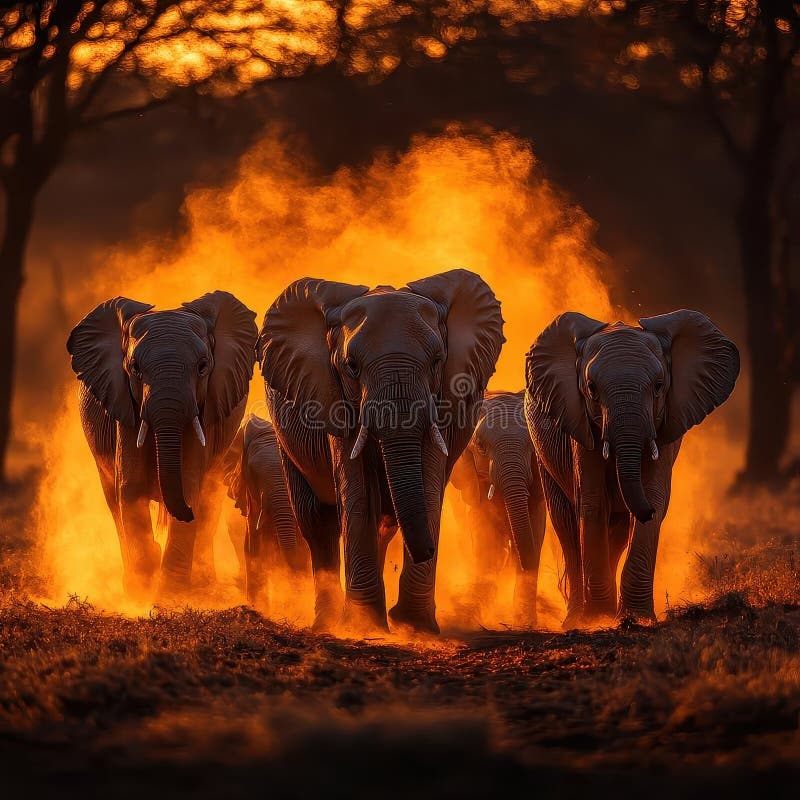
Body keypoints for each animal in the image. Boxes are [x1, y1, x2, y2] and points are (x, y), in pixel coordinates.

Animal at [67, 291, 258, 599]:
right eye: (134, 368)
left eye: (203, 367)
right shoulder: (124, 404)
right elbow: (130, 490)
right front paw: (143, 592)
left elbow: (190, 485)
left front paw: (171, 596)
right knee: (113, 499)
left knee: (211, 500)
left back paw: (203, 587)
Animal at [258, 269, 504, 634]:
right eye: (351, 366)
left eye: (437, 361)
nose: (428, 550)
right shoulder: (333, 396)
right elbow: (357, 489)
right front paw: (365, 626)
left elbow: (429, 480)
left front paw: (414, 625)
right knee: (317, 522)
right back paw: (328, 623)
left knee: (383, 524)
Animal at [524, 309, 739, 626]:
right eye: (592, 389)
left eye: (659, 387)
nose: (645, 512)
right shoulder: (580, 424)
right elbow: (592, 503)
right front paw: (598, 620)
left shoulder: (665, 425)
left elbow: (655, 496)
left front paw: (637, 618)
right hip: (544, 453)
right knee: (566, 524)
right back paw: (576, 618)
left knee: (616, 530)